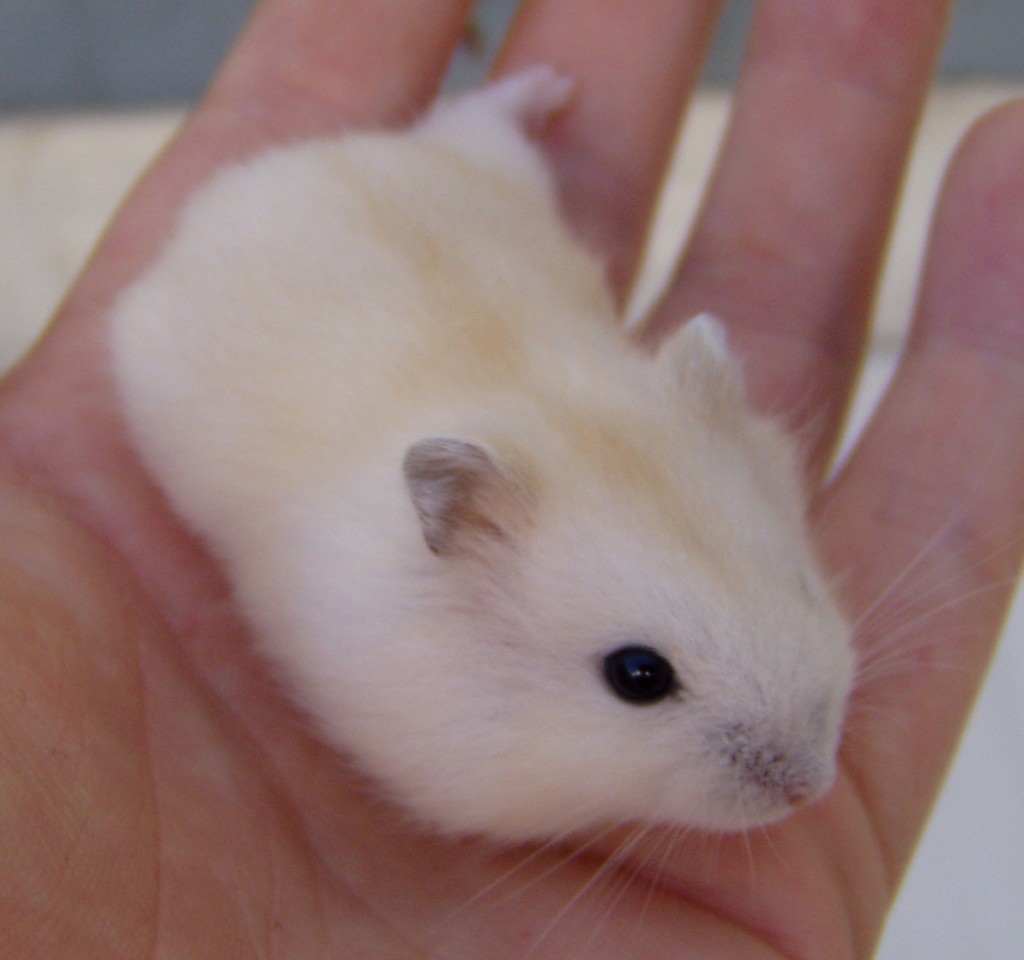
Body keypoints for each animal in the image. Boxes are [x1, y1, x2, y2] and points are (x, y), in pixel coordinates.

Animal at [110, 67, 854, 843]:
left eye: (802, 582)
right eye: (638, 676)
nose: (810, 788)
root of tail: (250, 179)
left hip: (492, 157)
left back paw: (554, 88)